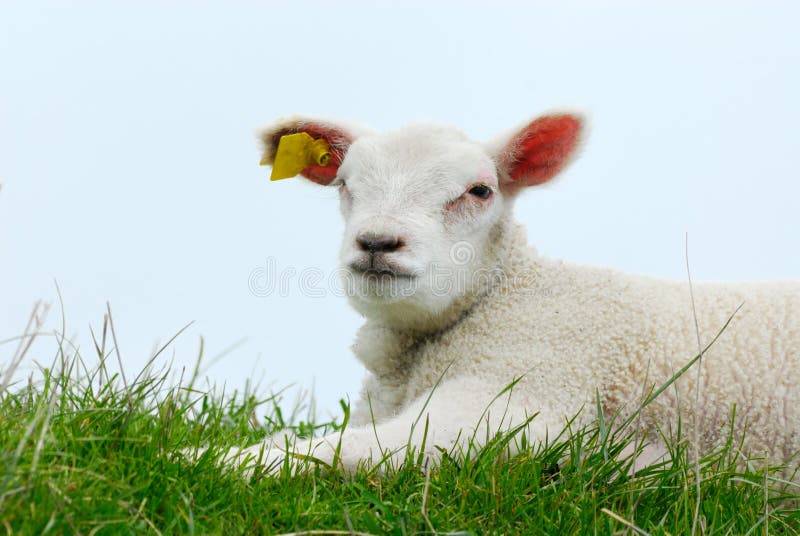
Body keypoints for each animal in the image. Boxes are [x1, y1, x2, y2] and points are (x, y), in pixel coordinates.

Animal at [227, 112, 800, 475]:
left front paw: (223, 460)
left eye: (480, 191)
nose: (377, 242)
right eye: (345, 184)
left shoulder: (519, 399)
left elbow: (351, 450)